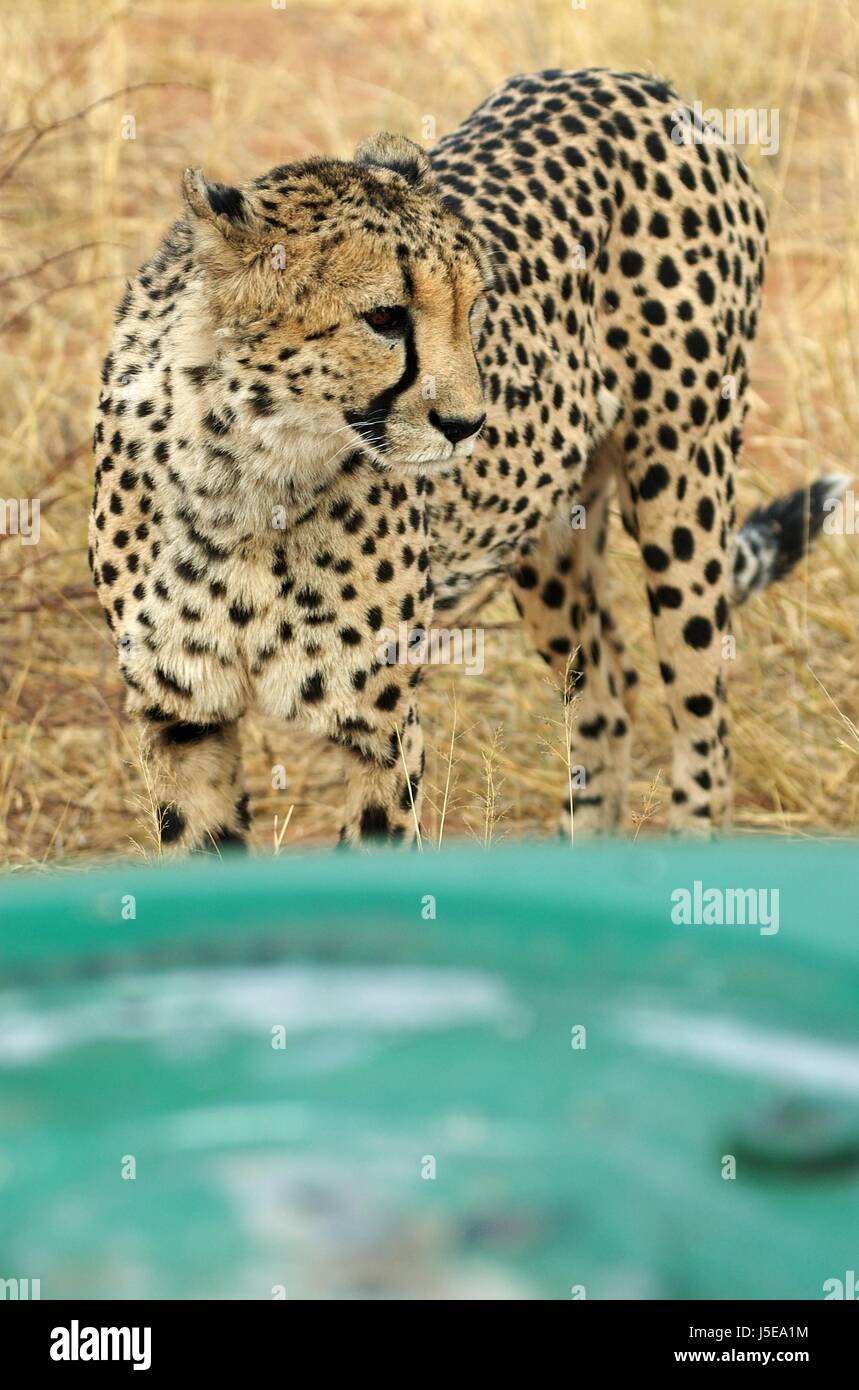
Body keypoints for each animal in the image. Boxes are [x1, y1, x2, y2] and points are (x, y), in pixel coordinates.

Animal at [90, 68, 844, 853]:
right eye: (384, 317)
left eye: (473, 306)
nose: (467, 424)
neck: (247, 476)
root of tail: (637, 83)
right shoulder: (183, 719)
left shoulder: (381, 723)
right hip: (547, 532)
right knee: (607, 698)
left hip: (683, 492)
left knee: (703, 723)